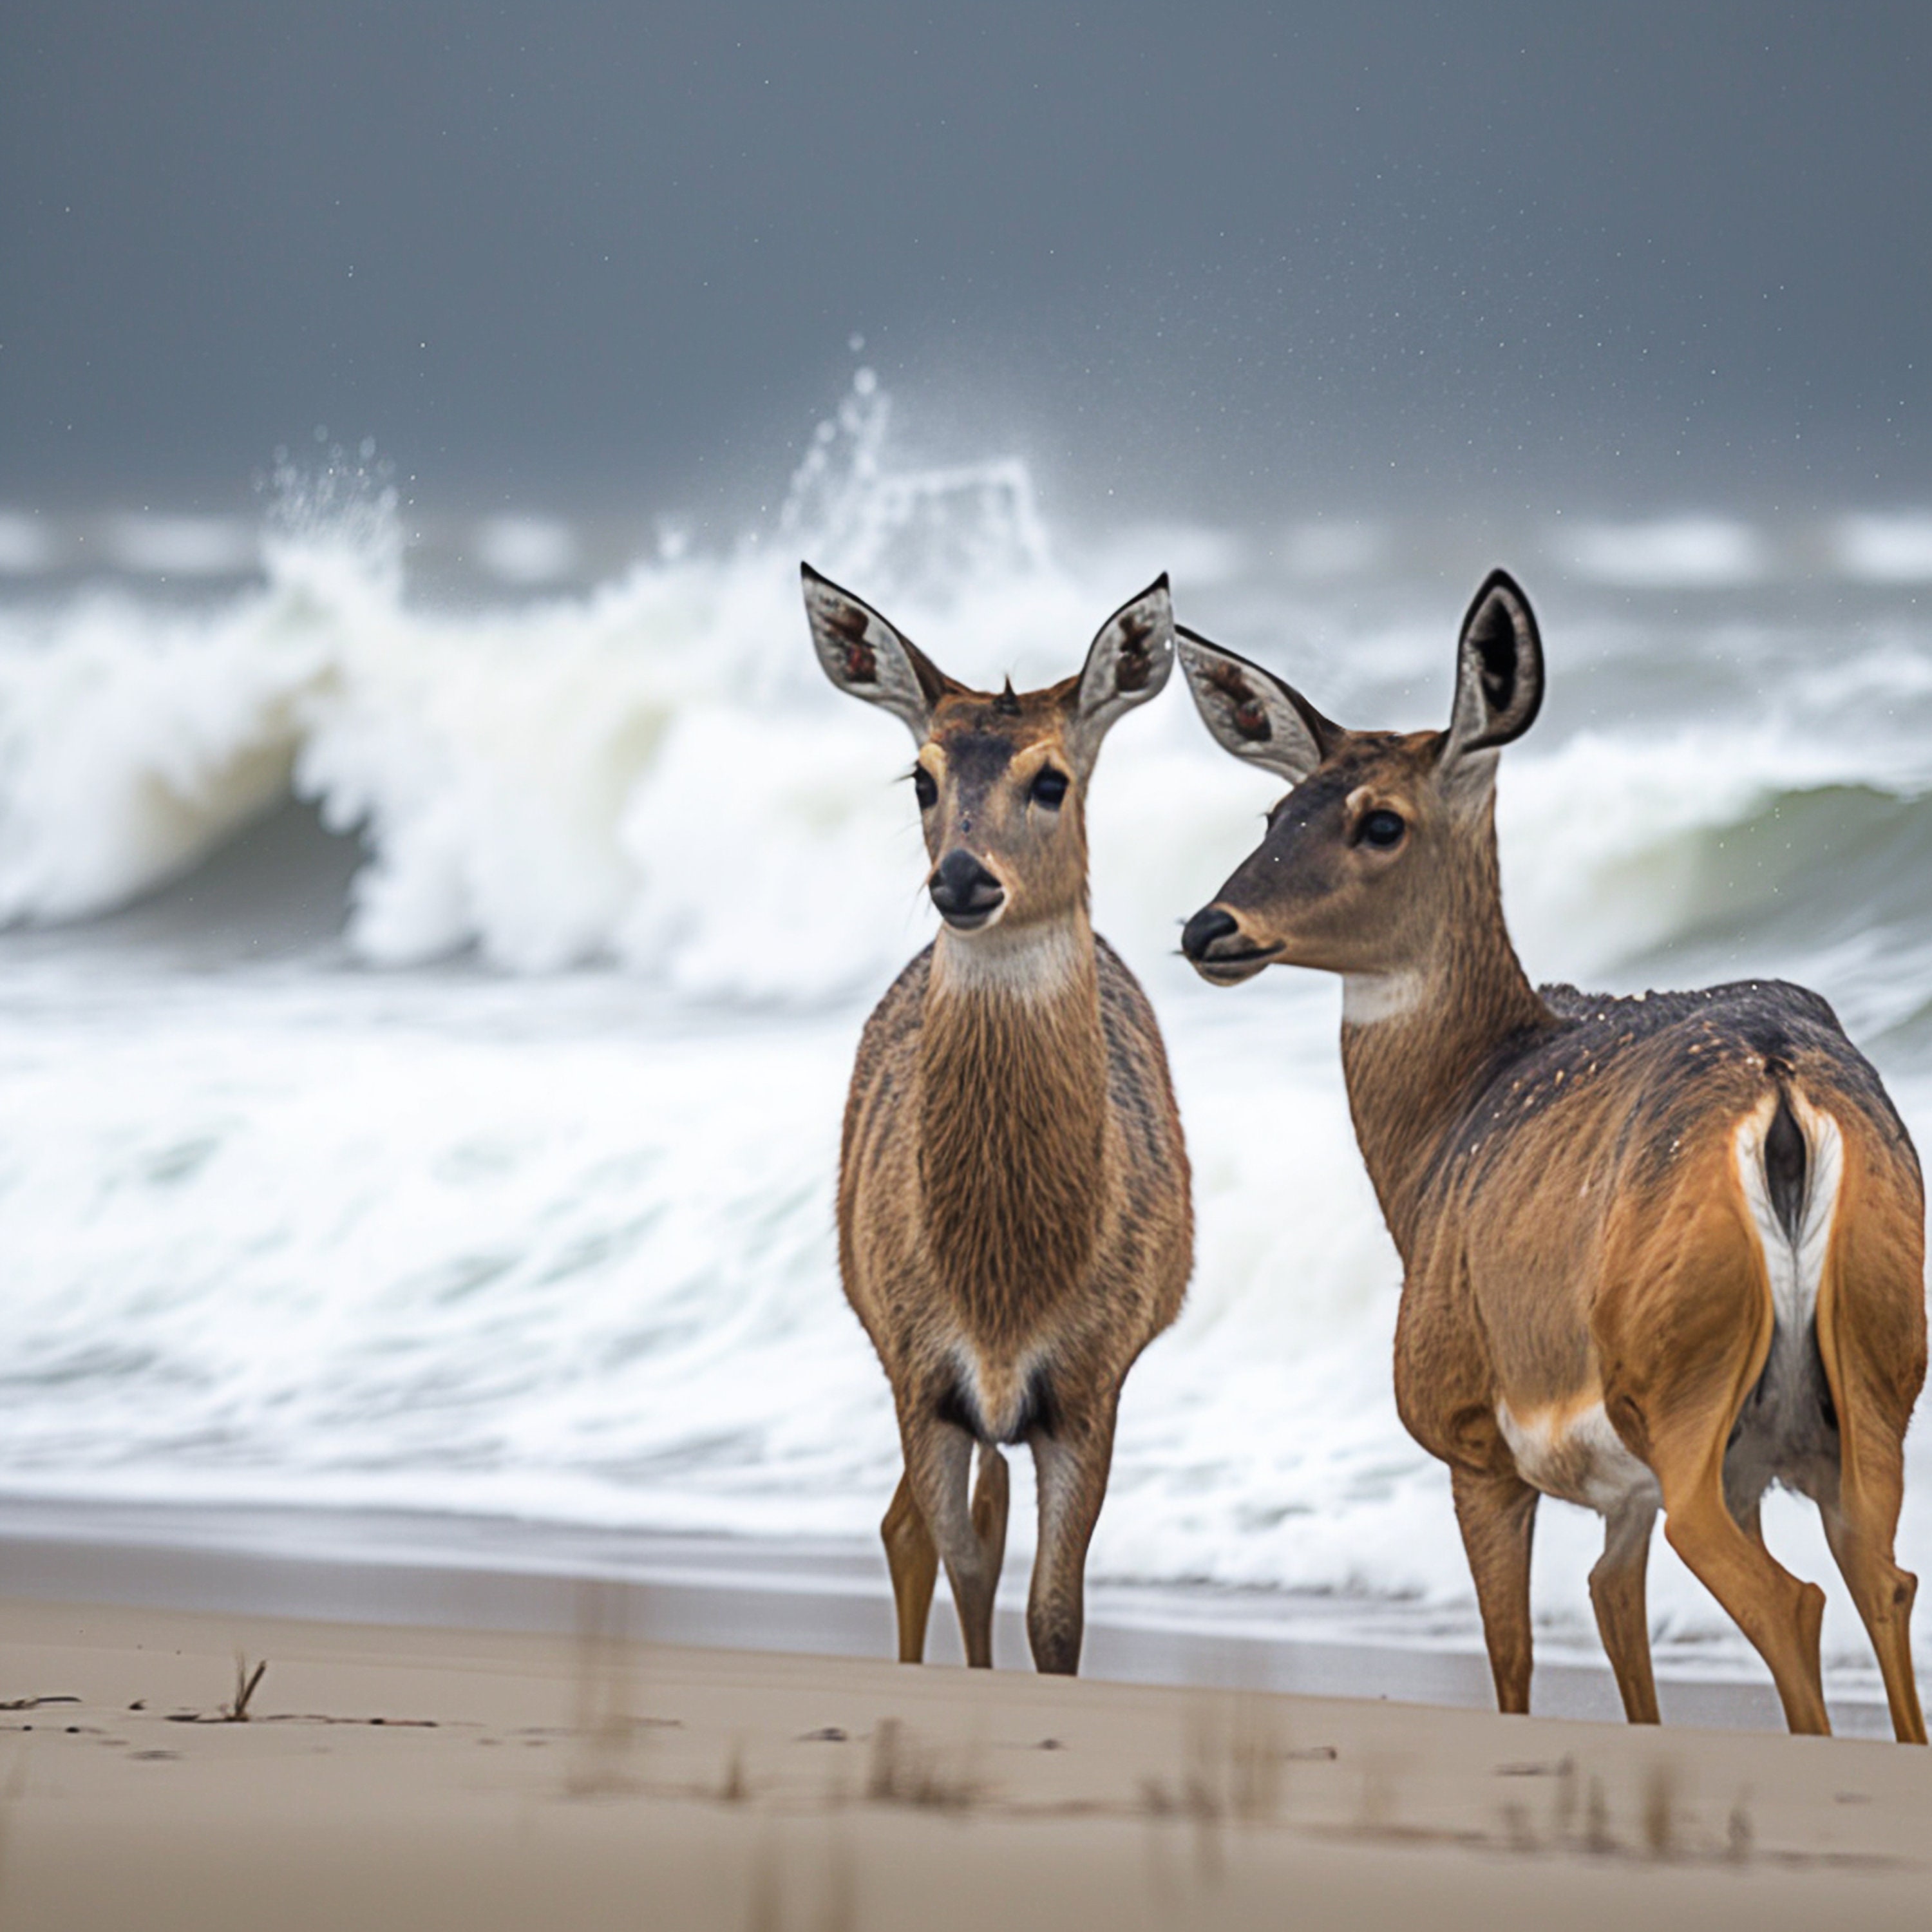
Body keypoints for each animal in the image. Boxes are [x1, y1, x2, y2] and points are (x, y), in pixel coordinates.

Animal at [800, 562, 1193, 1676]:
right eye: (921, 776)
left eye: (1052, 779)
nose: (964, 877)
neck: (1001, 1289)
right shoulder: (918, 1363)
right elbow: (967, 1560)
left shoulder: (1092, 1382)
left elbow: (1054, 1613)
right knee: (914, 1531)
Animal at [1175, 569, 1926, 1740]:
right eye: (1275, 813)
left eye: (1379, 821)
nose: (1210, 928)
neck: (1444, 1129)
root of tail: (1780, 1084)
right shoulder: (1630, 1494)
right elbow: (1618, 1633)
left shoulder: (1467, 1430)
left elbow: (1514, 1652)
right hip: (1868, 1383)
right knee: (1884, 1581)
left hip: (1681, 1381)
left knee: (1790, 1599)